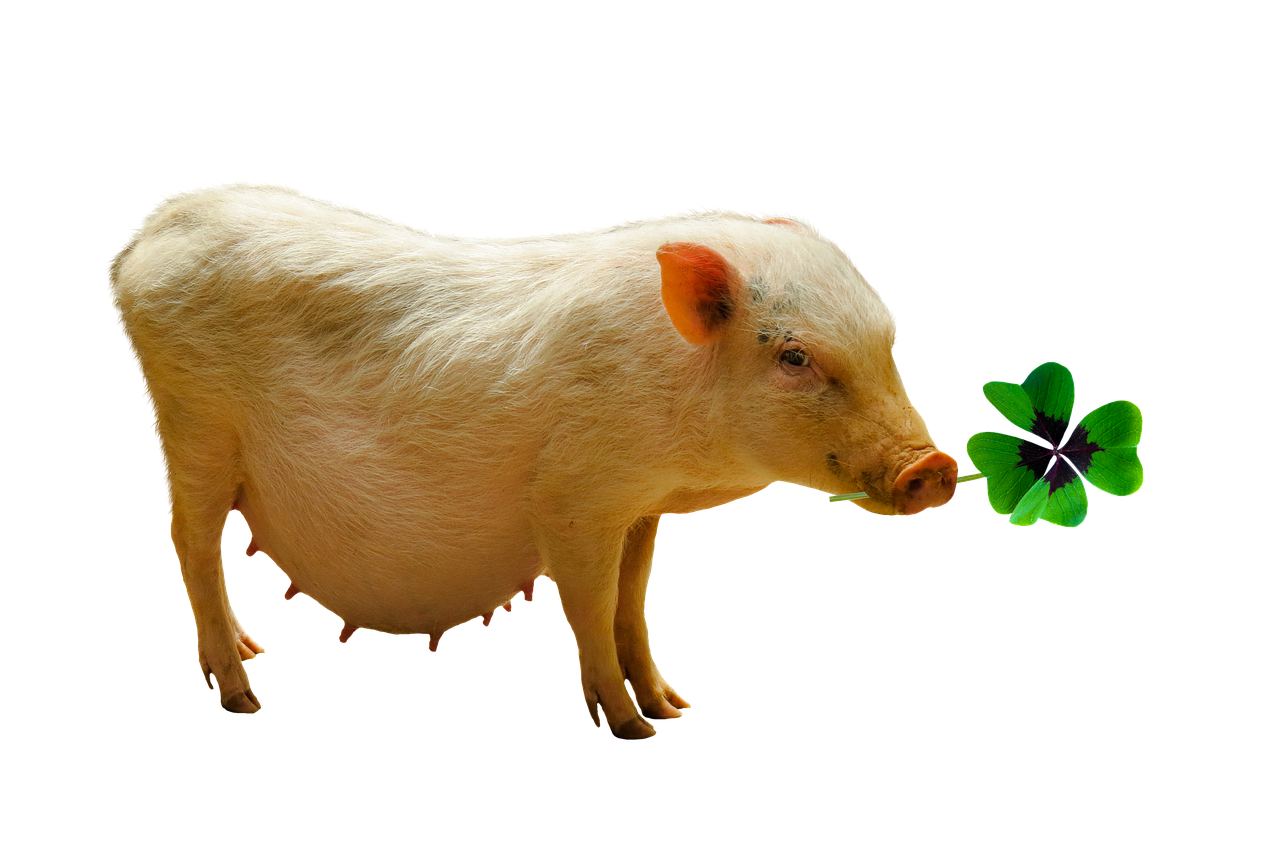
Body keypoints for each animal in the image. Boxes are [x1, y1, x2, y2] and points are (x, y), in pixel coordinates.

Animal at [108, 182, 958, 738]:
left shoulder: (638, 504)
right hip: (194, 421)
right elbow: (590, 604)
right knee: (189, 540)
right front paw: (632, 726)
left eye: (886, 343)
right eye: (794, 357)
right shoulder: (574, 495)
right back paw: (243, 693)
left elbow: (631, 601)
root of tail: (156, 226)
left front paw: (676, 710)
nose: (934, 467)